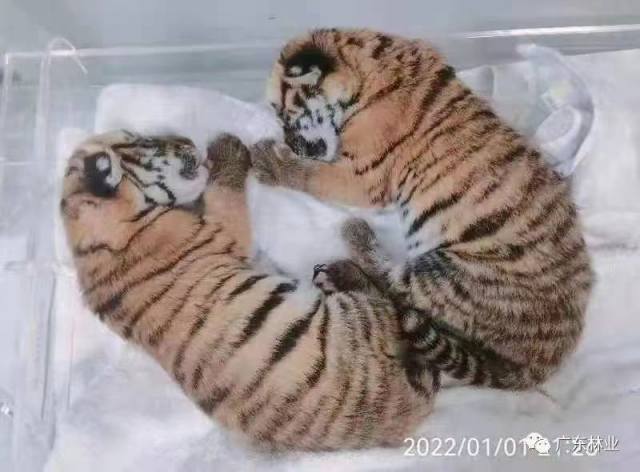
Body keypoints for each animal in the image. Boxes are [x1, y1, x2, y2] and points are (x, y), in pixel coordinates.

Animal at [60, 130, 437, 451]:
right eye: (145, 142)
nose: (187, 140)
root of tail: (411, 405)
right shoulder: (222, 230)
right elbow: (224, 190)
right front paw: (226, 144)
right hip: (362, 319)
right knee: (388, 299)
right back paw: (338, 268)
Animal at [250, 28, 593, 390]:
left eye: (281, 111)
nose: (290, 144)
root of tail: (548, 358)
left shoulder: (363, 176)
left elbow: (308, 174)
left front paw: (266, 159)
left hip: (457, 274)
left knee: (396, 289)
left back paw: (347, 248)